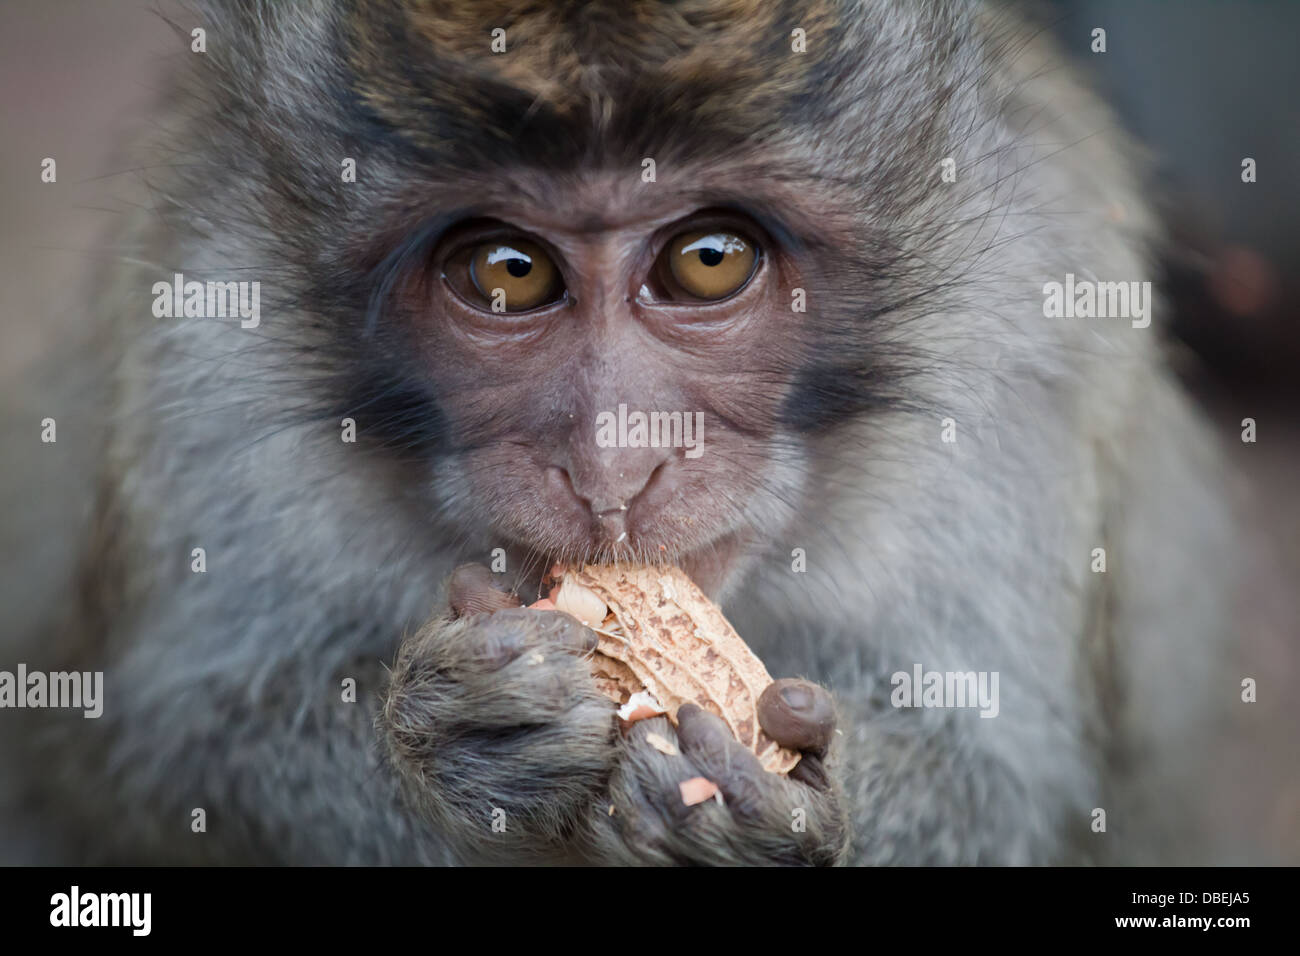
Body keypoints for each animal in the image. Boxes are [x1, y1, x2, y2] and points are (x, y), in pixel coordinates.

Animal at [0, 0, 1238, 865]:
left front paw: (785, 806)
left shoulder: (1028, 333)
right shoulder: (207, 322)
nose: (611, 465)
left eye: (709, 259)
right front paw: (459, 751)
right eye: (508, 272)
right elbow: (191, 742)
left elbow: (997, 780)